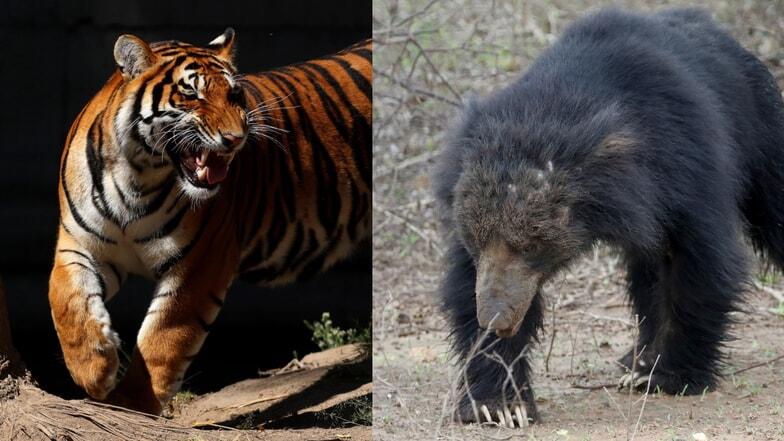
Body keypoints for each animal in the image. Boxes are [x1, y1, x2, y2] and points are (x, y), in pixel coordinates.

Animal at [48, 28, 371, 415]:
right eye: (191, 93)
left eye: (234, 94)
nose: (235, 139)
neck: (136, 178)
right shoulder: (80, 242)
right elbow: (65, 298)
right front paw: (94, 369)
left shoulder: (200, 261)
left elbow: (162, 337)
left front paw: (130, 404)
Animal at [433, 7, 784, 425]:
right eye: (476, 239)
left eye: (533, 244)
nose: (496, 319)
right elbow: (464, 283)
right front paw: (500, 406)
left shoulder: (684, 163)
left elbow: (697, 263)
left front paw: (666, 378)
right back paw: (635, 358)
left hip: (762, 128)